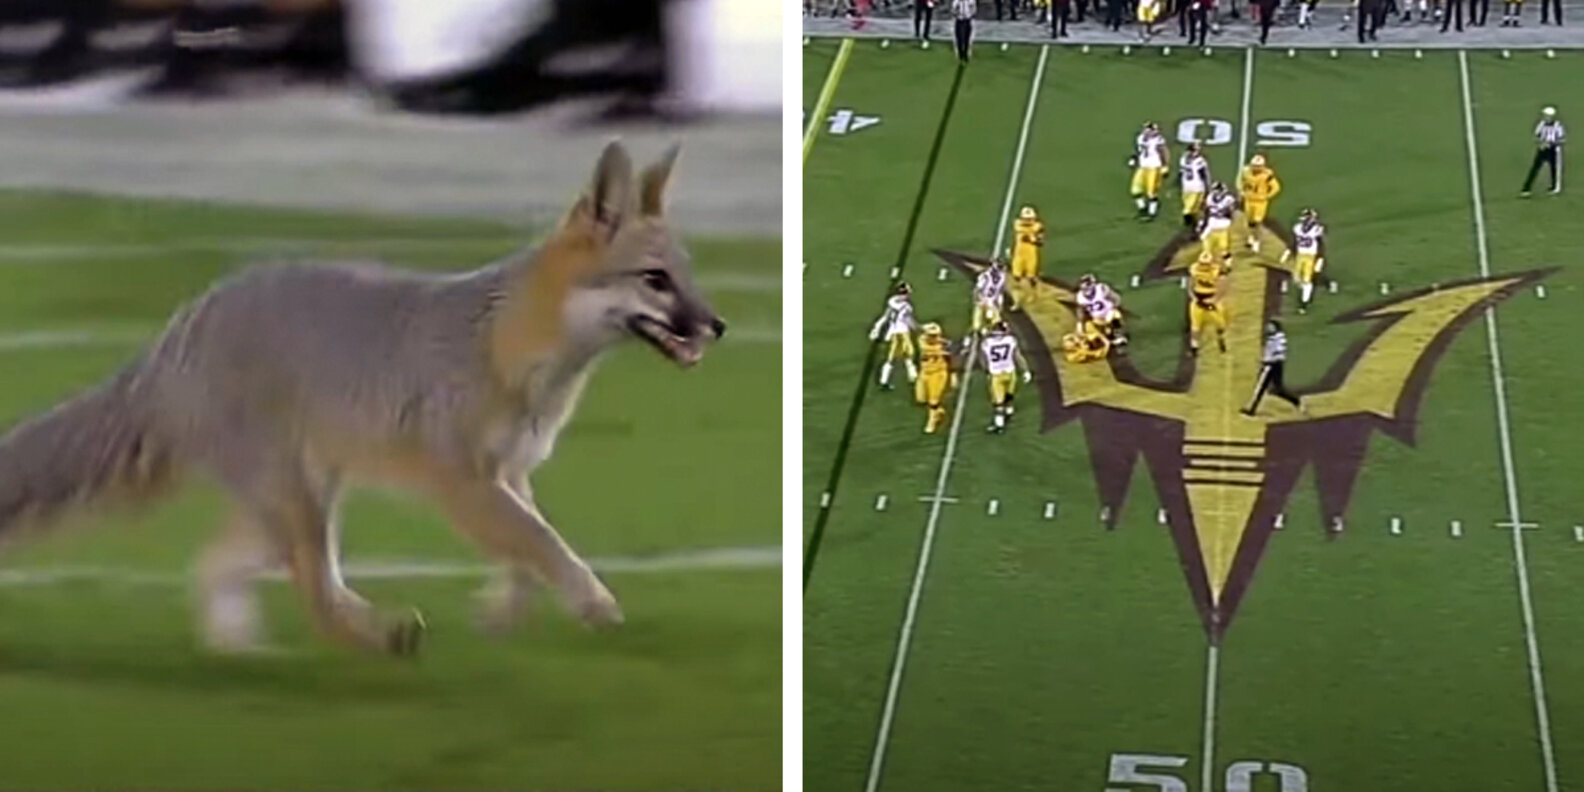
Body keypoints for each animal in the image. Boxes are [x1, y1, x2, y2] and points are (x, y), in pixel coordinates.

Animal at [0, 140, 725, 656]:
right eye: (656, 281)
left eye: (688, 278)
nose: (717, 326)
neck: (509, 342)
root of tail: (179, 327)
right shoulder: (462, 480)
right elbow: (542, 544)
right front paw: (591, 602)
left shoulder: (508, 475)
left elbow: (526, 552)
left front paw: (502, 613)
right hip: (298, 506)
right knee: (315, 597)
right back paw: (377, 638)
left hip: (301, 506)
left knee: (216, 569)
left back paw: (247, 655)